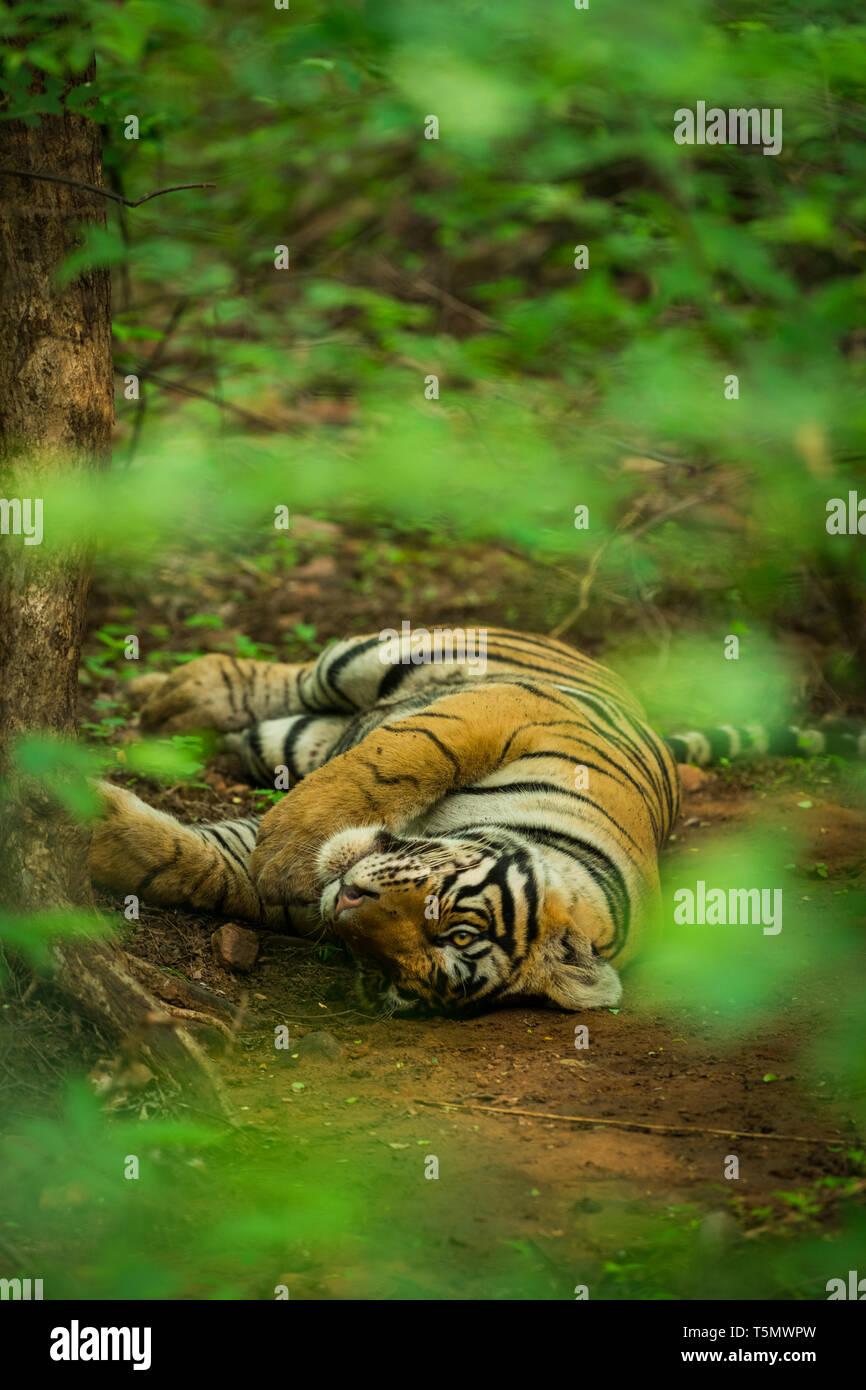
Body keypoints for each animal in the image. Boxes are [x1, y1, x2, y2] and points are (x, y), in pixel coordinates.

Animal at [87, 626, 865, 1016]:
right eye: (462, 927)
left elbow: (203, 866)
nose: (347, 902)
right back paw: (172, 695)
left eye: (393, 975)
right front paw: (285, 848)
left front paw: (95, 831)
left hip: (293, 737)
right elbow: (398, 758)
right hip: (388, 656)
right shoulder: (510, 710)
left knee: (279, 724)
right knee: (292, 676)